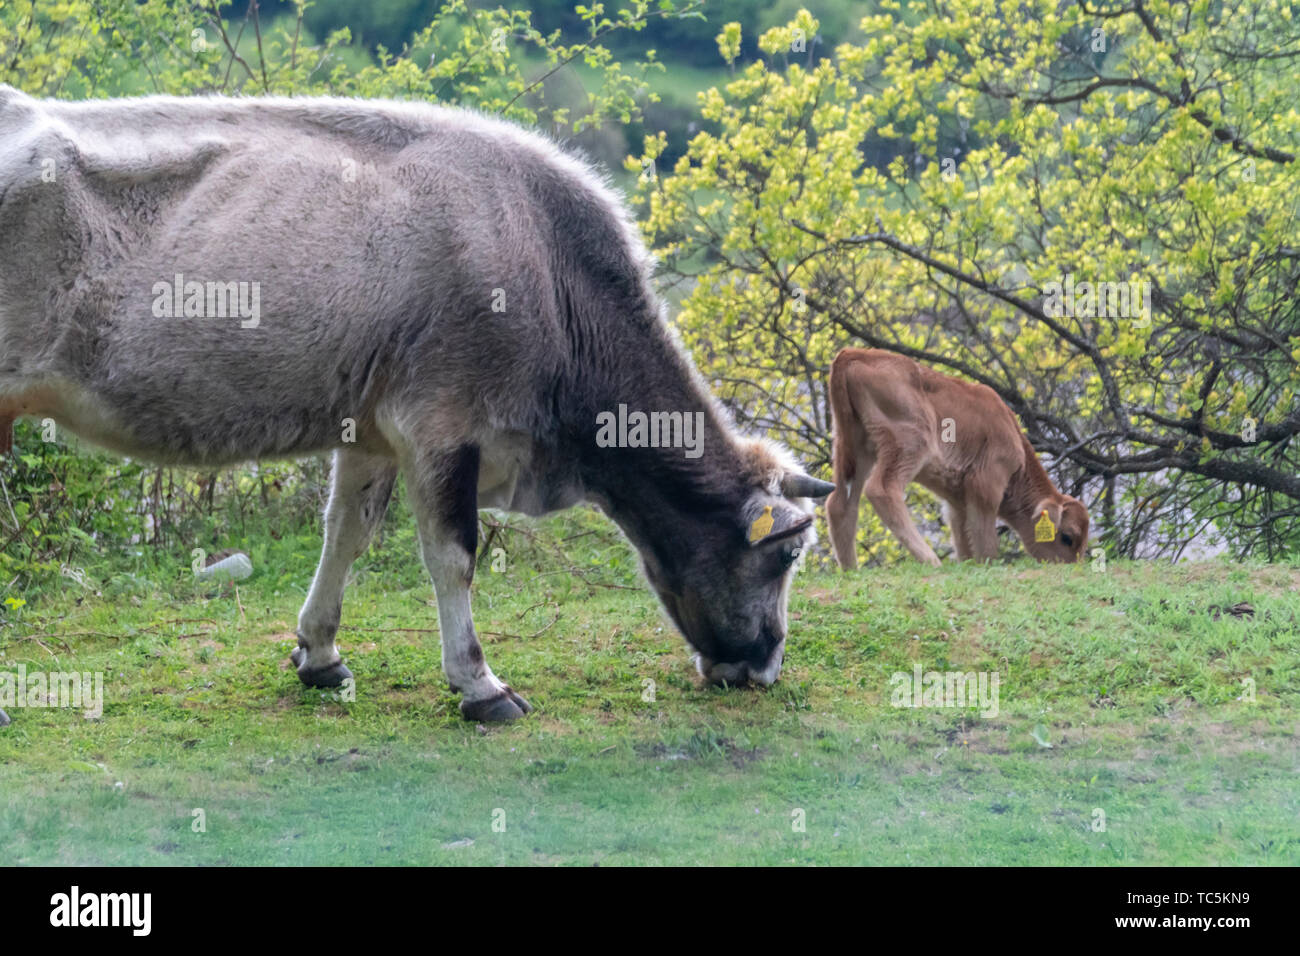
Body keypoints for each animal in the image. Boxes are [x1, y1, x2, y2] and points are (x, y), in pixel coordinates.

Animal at [0, 86, 834, 722]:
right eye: (787, 554)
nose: (764, 667)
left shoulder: (370, 427)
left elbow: (347, 534)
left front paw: (320, 655)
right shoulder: (442, 422)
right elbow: (453, 556)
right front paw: (481, 686)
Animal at [825, 348, 1088, 568]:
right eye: (1067, 537)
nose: (1071, 566)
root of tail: (852, 354)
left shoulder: (958, 501)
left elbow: (964, 541)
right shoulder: (985, 489)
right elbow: (987, 545)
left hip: (856, 448)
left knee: (840, 503)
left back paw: (851, 570)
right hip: (911, 443)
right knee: (881, 489)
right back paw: (931, 561)